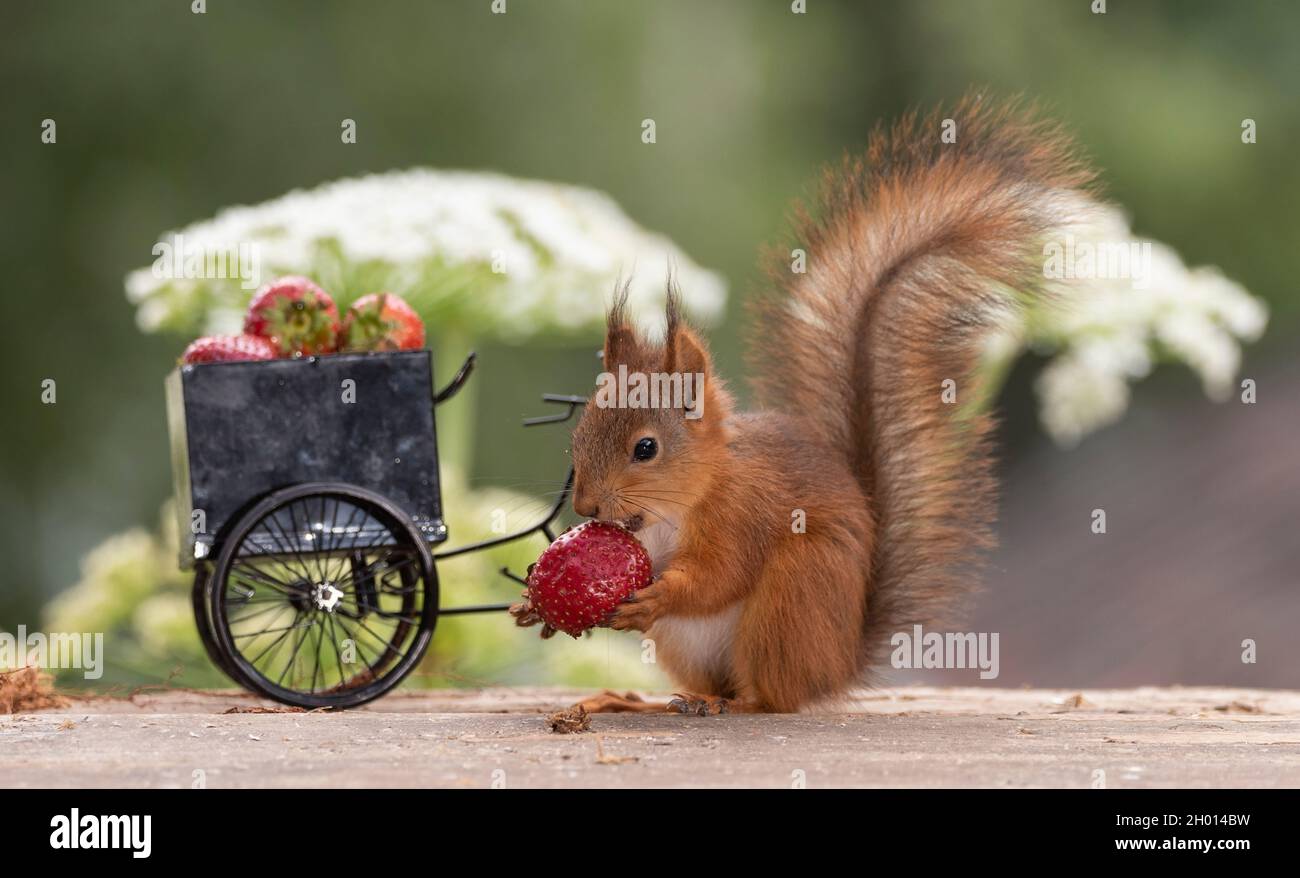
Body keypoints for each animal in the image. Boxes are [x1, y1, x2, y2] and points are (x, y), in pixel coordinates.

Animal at [557, 96, 1098, 715]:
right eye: (576, 439)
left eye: (646, 448)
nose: (586, 508)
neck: (680, 505)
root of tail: (838, 665)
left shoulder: (745, 514)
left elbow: (718, 576)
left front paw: (653, 597)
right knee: (714, 684)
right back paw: (644, 700)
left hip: (793, 594)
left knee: (772, 696)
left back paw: (732, 703)